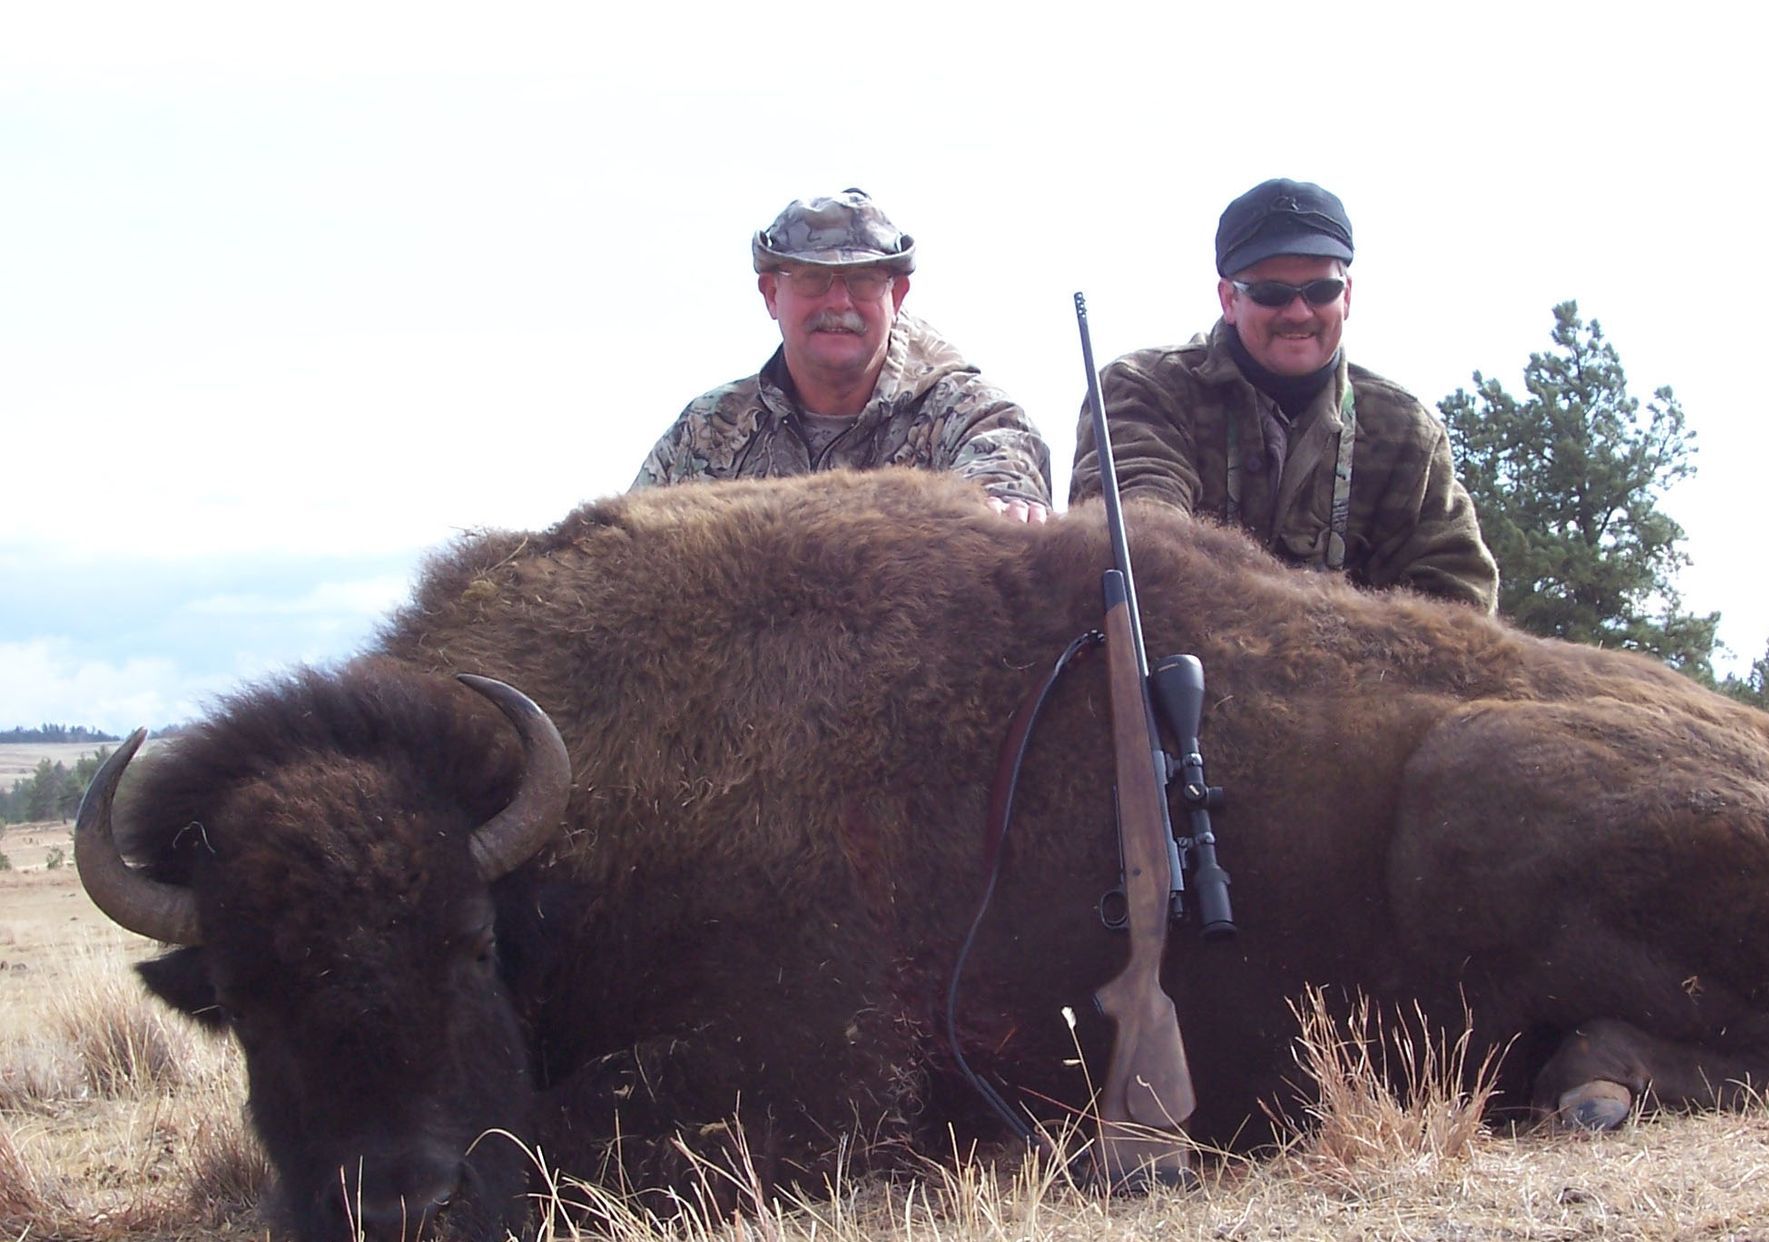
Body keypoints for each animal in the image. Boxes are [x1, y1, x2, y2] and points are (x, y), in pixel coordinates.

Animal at [78, 468, 1769, 1241]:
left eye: (468, 943)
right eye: (245, 991)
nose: (402, 1199)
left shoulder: (800, 1074)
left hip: (1476, 795)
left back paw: (1593, 1084)